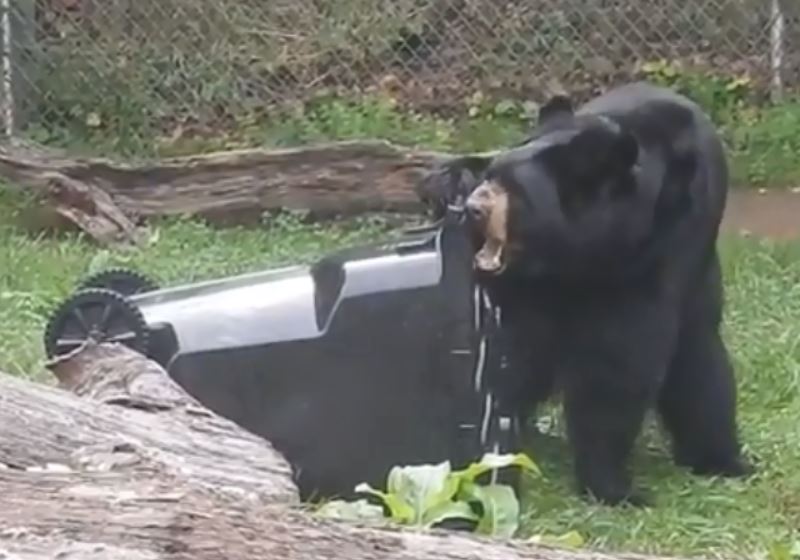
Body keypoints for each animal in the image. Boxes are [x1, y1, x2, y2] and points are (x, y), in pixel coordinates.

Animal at [419, 81, 753, 506]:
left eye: (516, 189)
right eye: (492, 177)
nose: (474, 207)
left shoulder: (650, 259)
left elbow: (617, 368)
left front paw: (613, 486)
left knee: (699, 363)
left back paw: (720, 460)